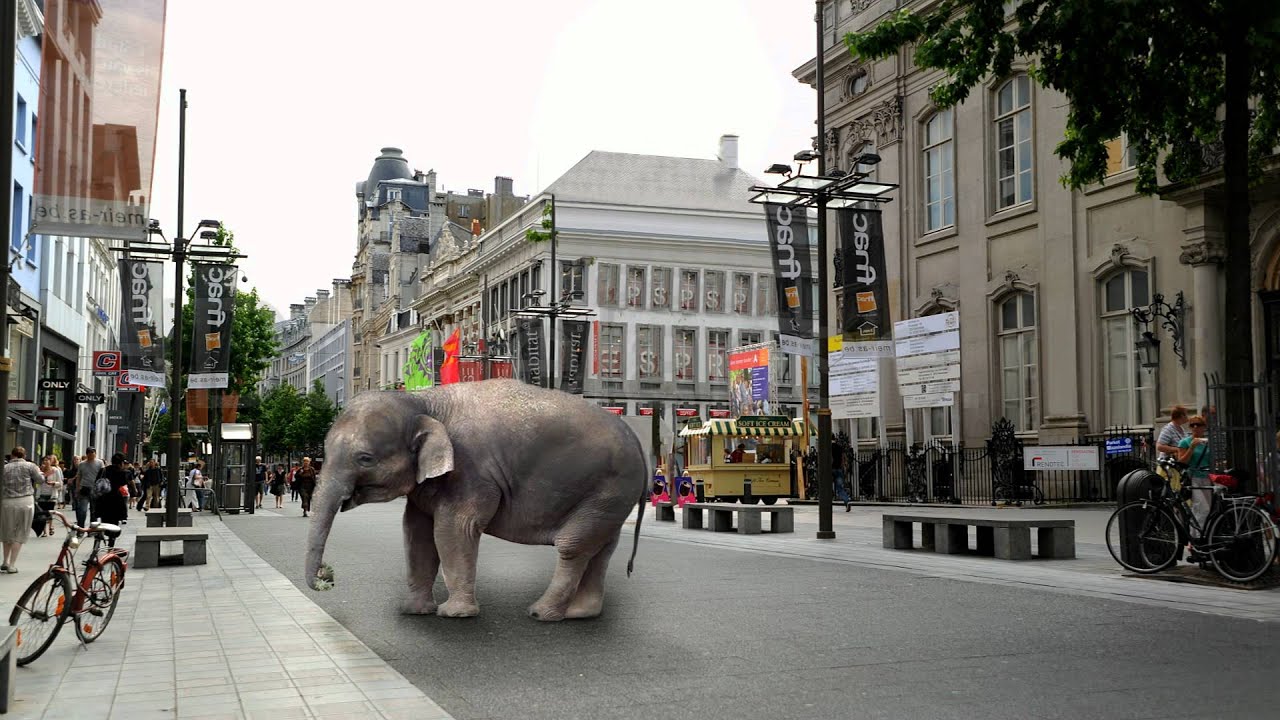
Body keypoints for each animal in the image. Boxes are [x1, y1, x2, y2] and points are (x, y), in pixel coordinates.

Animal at [303, 379, 648, 621]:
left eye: (365, 458)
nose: (327, 576)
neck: (425, 401)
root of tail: (639, 443)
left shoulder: (471, 471)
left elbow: (454, 529)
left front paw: (454, 614)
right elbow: (416, 533)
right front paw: (413, 610)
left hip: (609, 490)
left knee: (573, 547)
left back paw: (541, 614)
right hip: (610, 499)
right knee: (601, 549)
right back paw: (581, 614)